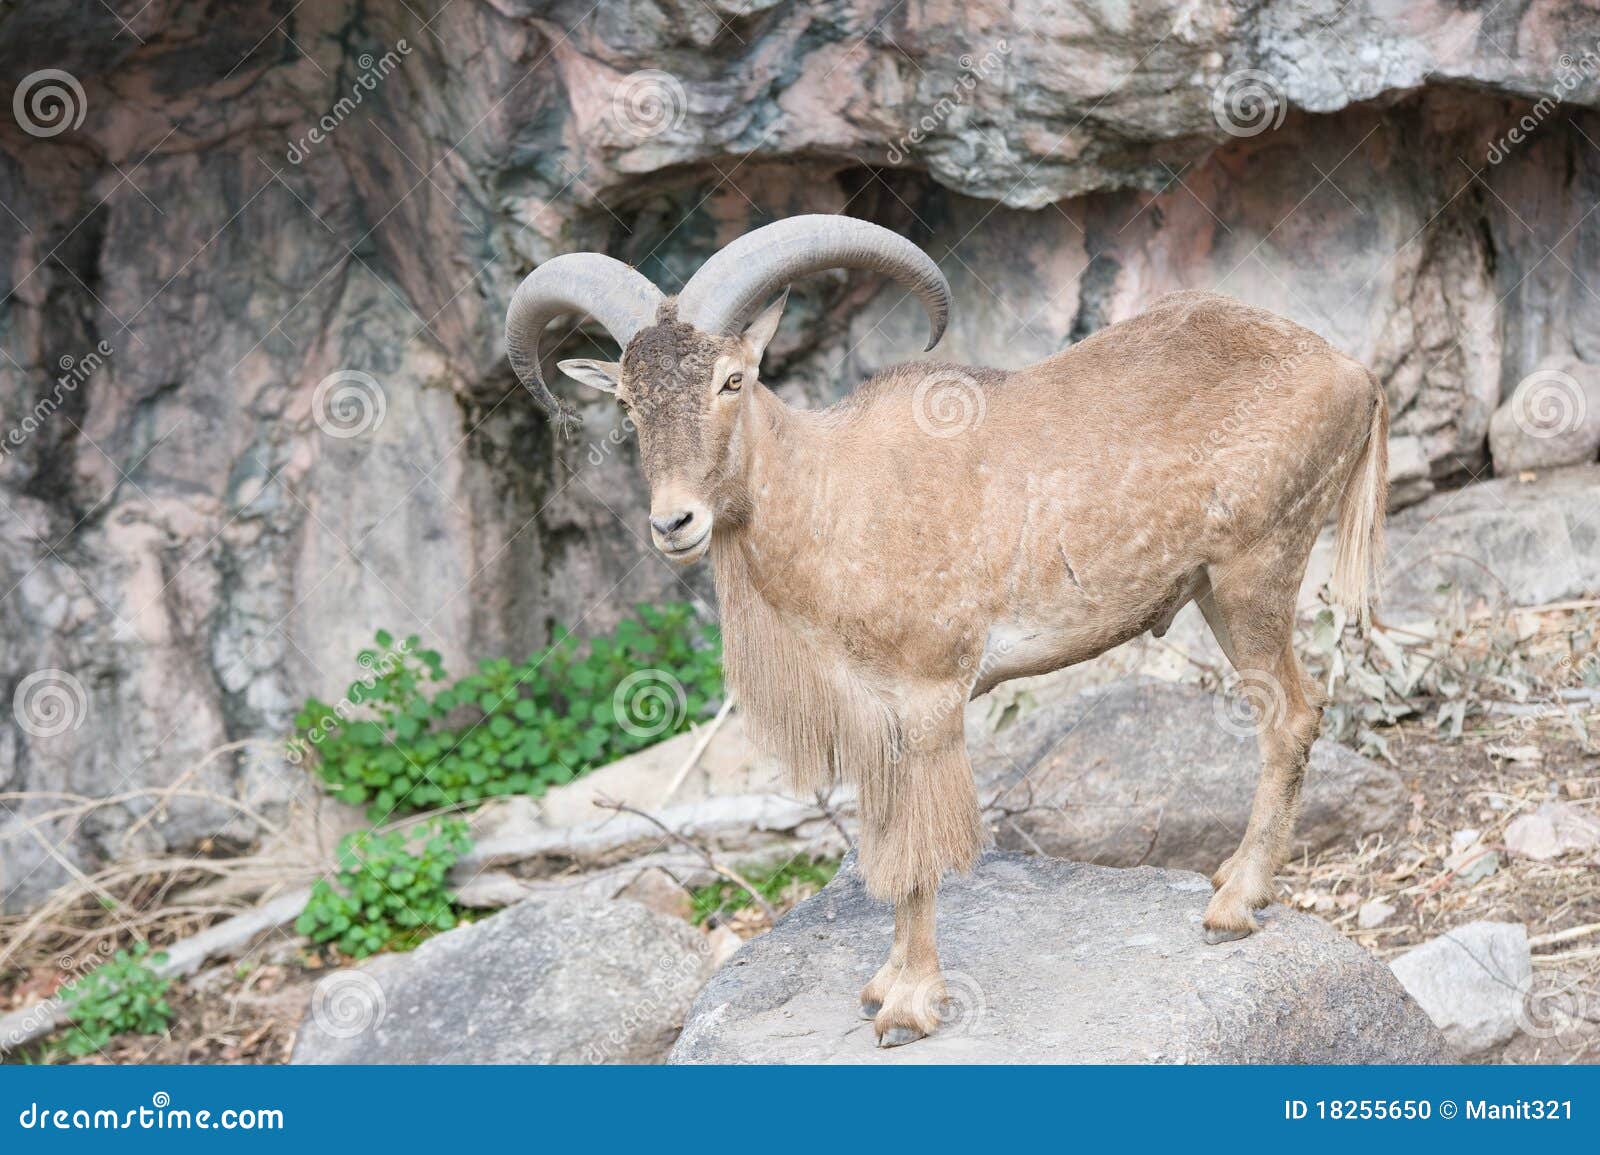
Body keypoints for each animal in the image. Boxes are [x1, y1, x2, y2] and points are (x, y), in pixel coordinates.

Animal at [505, 214, 1388, 1048]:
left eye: (733, 379)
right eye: (626, 401)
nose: (674, 523)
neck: (831, 498)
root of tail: (1352, 370)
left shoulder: (928, 701)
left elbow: (919, 855)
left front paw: (909, 1006)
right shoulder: (876, 724)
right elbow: (888, 849)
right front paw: (882, 983)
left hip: (1256, 574)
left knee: (1290, 716)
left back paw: (1235, 904)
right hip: (1212, 590)